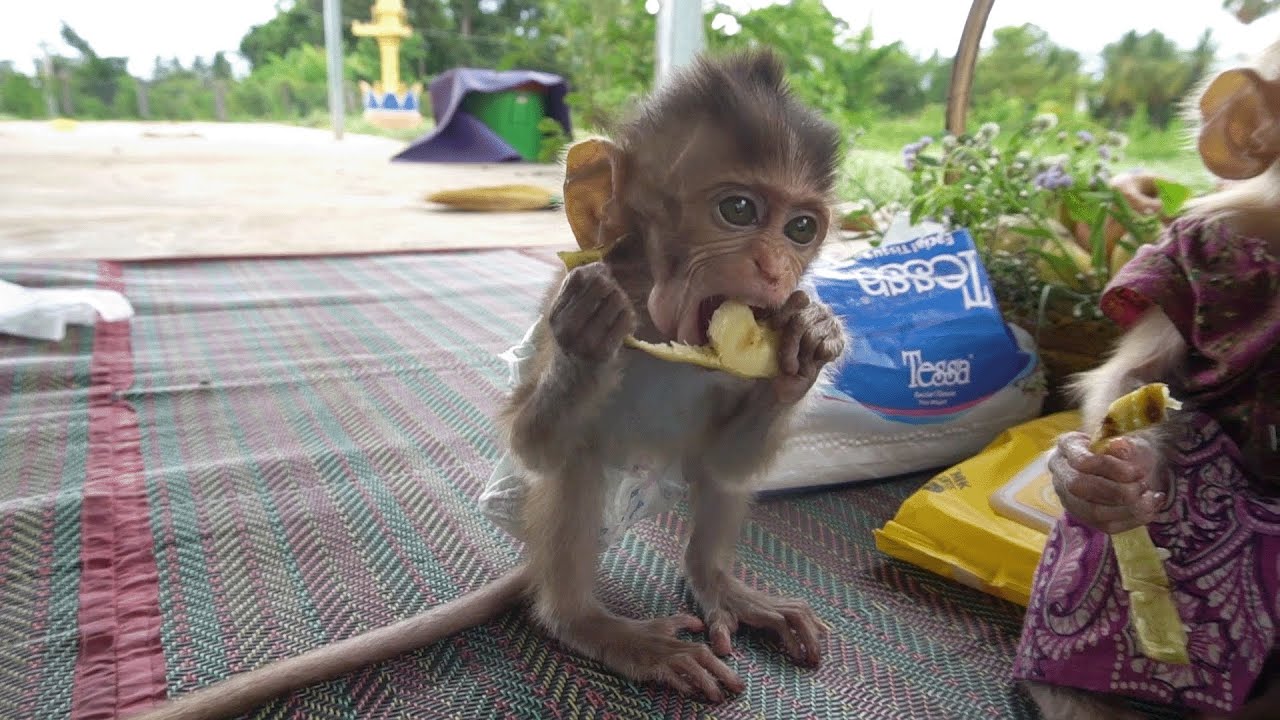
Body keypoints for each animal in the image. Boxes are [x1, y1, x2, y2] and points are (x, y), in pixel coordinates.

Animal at [126, 49, 847, 720]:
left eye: (801, 228)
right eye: (738, 210)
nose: (776, 268)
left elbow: (729, 461)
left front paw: (808, 343)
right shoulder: (563, 299)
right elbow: (537, 447)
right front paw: (587, 341)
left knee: (712, 479)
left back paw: (717, 585)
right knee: (576, 470)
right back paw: (593, 626)